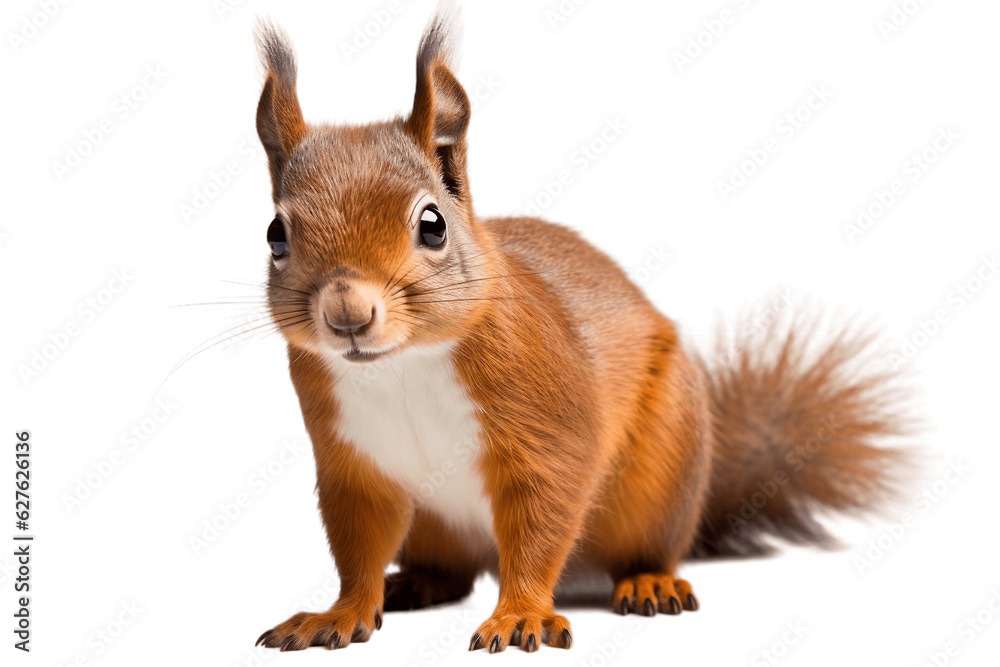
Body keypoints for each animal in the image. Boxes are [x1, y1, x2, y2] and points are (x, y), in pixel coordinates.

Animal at [252, 1, 913, 654]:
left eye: (433, 225)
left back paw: (649, 582)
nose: (347, 313)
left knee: (643, 548)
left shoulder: (547, 422)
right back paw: (414, 583)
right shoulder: (350, 462)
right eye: (275, 234)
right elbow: (358, 545)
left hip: (657, 480)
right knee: (451, 571)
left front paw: (519, 614)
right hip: (435, 528)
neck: (402, 367)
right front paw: (339, 613)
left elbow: (543, 518)